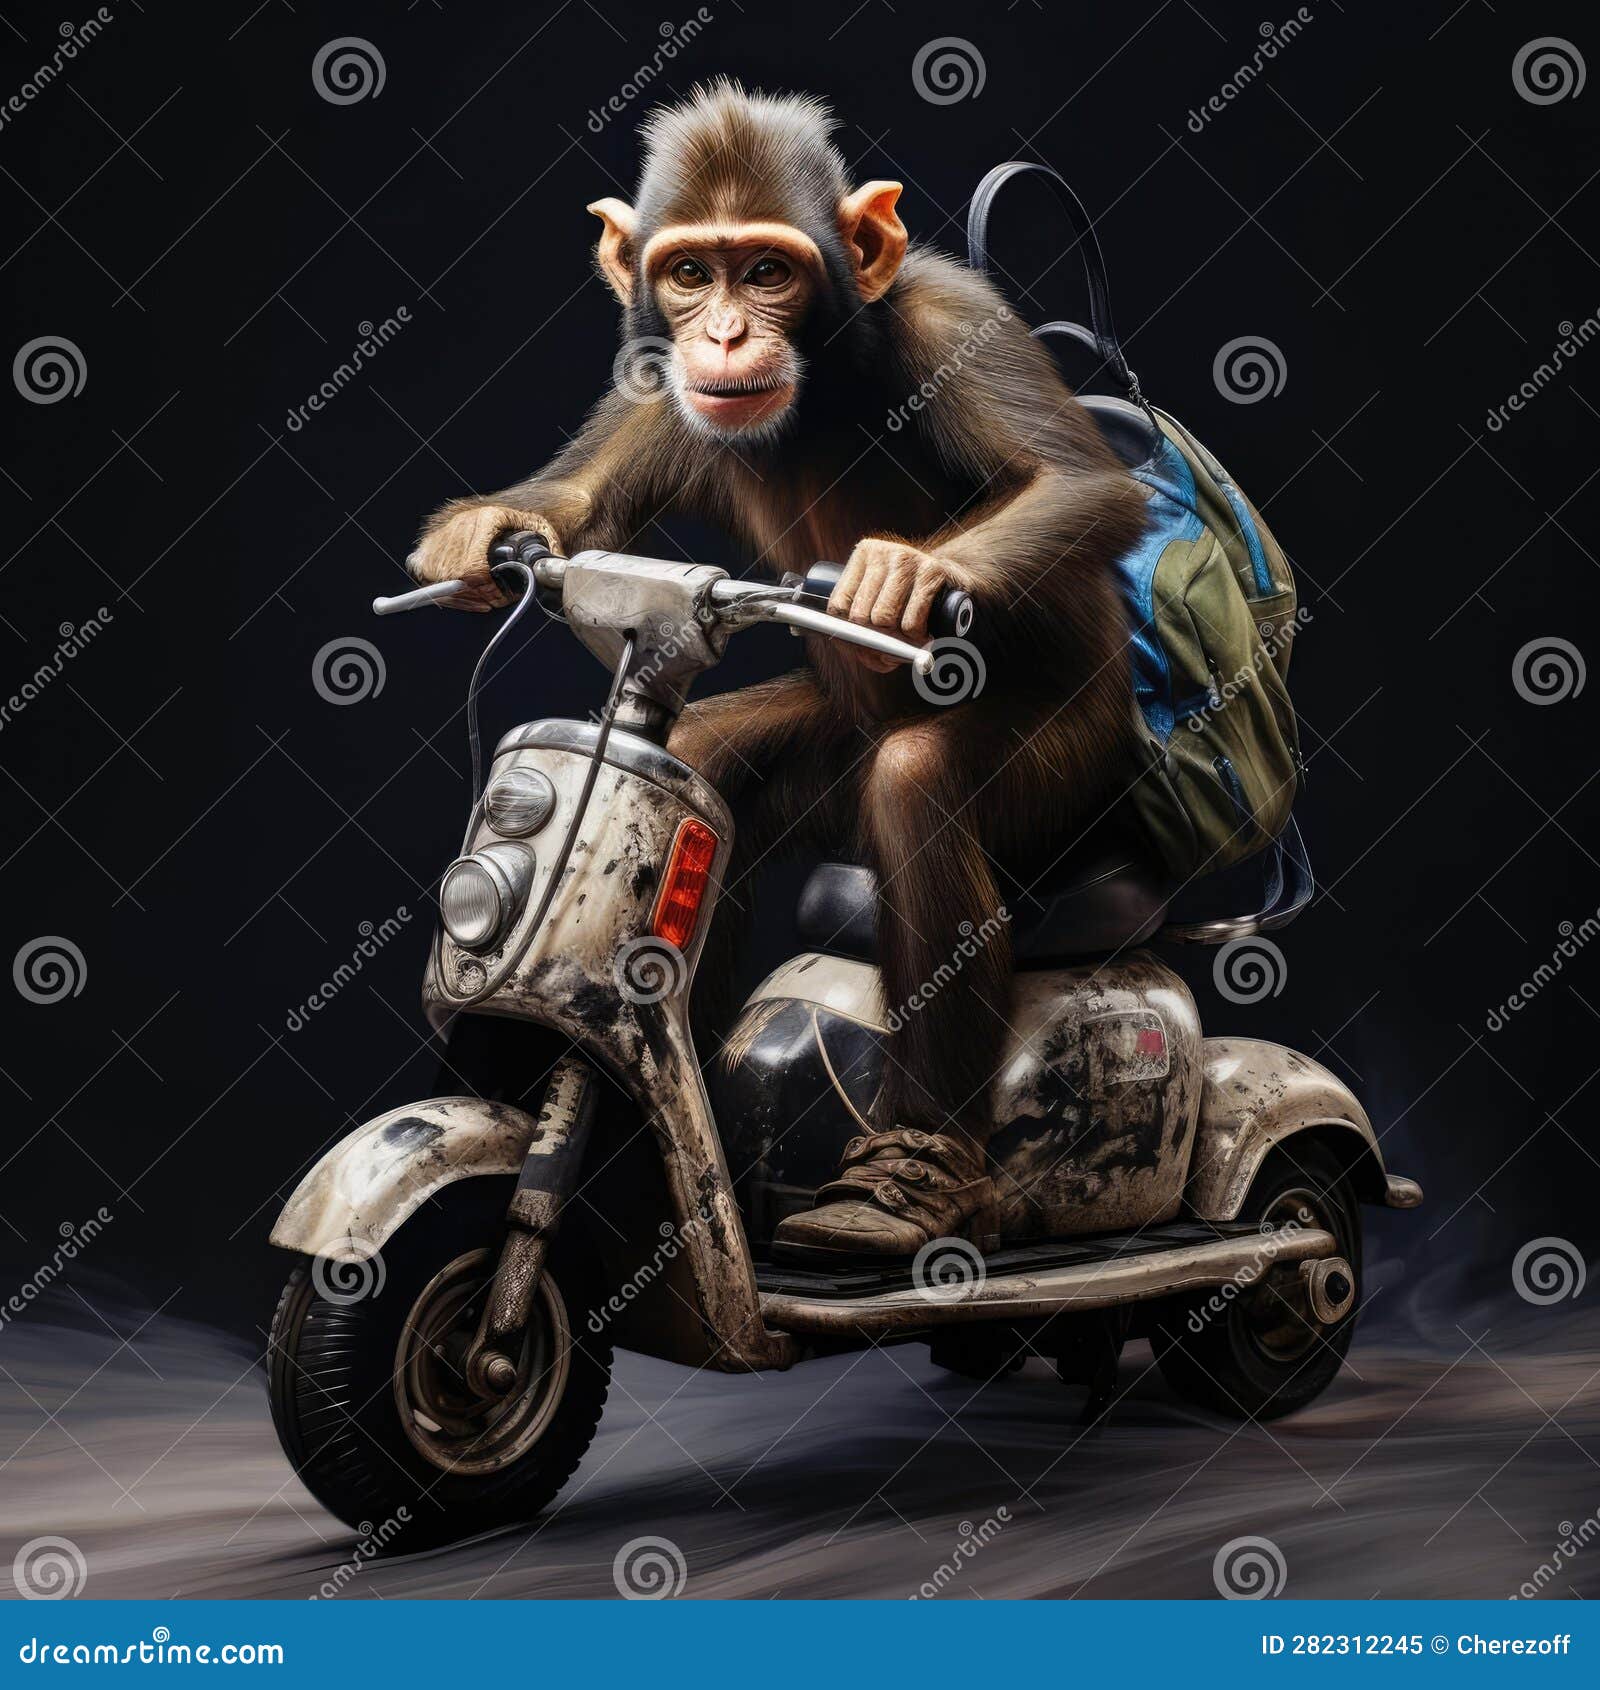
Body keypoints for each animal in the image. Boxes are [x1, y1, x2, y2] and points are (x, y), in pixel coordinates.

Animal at [408, 81, 1150, 1260]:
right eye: (689, 274)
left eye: (767, 272)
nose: (720, 332)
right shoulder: (654, 376)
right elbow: (585, 505)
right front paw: (479, 538)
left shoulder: (956, 320)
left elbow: (1079, 485)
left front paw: (902, 578)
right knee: (717, 755)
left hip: (1082, 778)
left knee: (915, 784)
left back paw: (905, 1186)